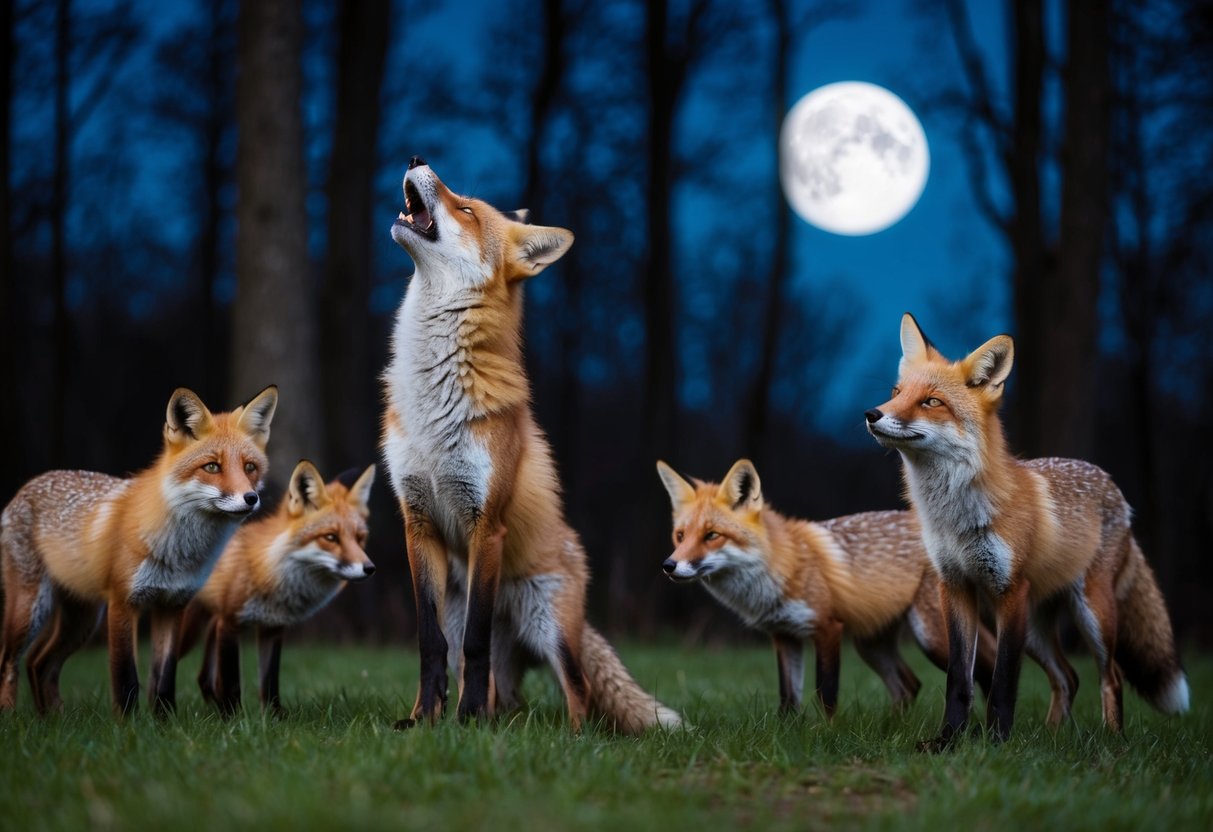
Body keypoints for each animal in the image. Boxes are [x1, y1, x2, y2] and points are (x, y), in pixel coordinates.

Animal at [0, 385, 278, 716]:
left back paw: (55, 719)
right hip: (31, 609)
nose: (250, 498)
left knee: (40, 664)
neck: (178, 552)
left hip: (82, 619)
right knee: (9, 663)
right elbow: (126, 678)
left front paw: (165, 722)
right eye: (212, 466)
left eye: (249, 467)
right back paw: (12, 716)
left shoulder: (172, 605)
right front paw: (127, 725)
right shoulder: (123, 602)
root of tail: (26, 486)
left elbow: (164, 678)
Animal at [180, 460, 377, 715]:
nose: (369, 568)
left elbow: (270, 683)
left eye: (360, 538)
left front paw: (273, 717)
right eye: (331, 537)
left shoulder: (272, 627)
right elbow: (232, 683)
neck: (267, 571)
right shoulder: (230, 623)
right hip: (189, 628)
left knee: (204, 677)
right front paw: (234, 719)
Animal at [381, 157, 681, 733]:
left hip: (550, 627)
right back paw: (490, 717)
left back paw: (567, 738)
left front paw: (467, 720)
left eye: (466, 210)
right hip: (465, 604)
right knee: (500, 685)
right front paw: (425, 719)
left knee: (579, 690)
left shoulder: (486, 523)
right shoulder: (418, 521)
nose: (414, 160)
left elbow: (474, 644)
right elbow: (431, 644)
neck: (432, 402)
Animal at [657, 459, 996, 716]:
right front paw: (788, 734)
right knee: (909, 684)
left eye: (712, 535)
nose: (669, 565)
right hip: (870, 644)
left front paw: (823, 733)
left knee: (984, 665)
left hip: (931, 636)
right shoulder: (784, 636)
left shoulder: (827, 628)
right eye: (680, 536)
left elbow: (826, 696)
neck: (782, 567)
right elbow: (788, 699)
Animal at [865, 313, 1189, 747]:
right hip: (1035, 628)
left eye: (931, 402)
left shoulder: (1009, 590)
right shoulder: (954, 587)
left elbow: (1004, 682)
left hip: (1091, 613)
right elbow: (959, 680)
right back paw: (1051, 737)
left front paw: (996, 744)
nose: (872, 414)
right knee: (1068, 677)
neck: (956, 517)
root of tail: (1113, 487)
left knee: (1112, 676)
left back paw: (1111, 740)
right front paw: (948, 741)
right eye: (896, 392)